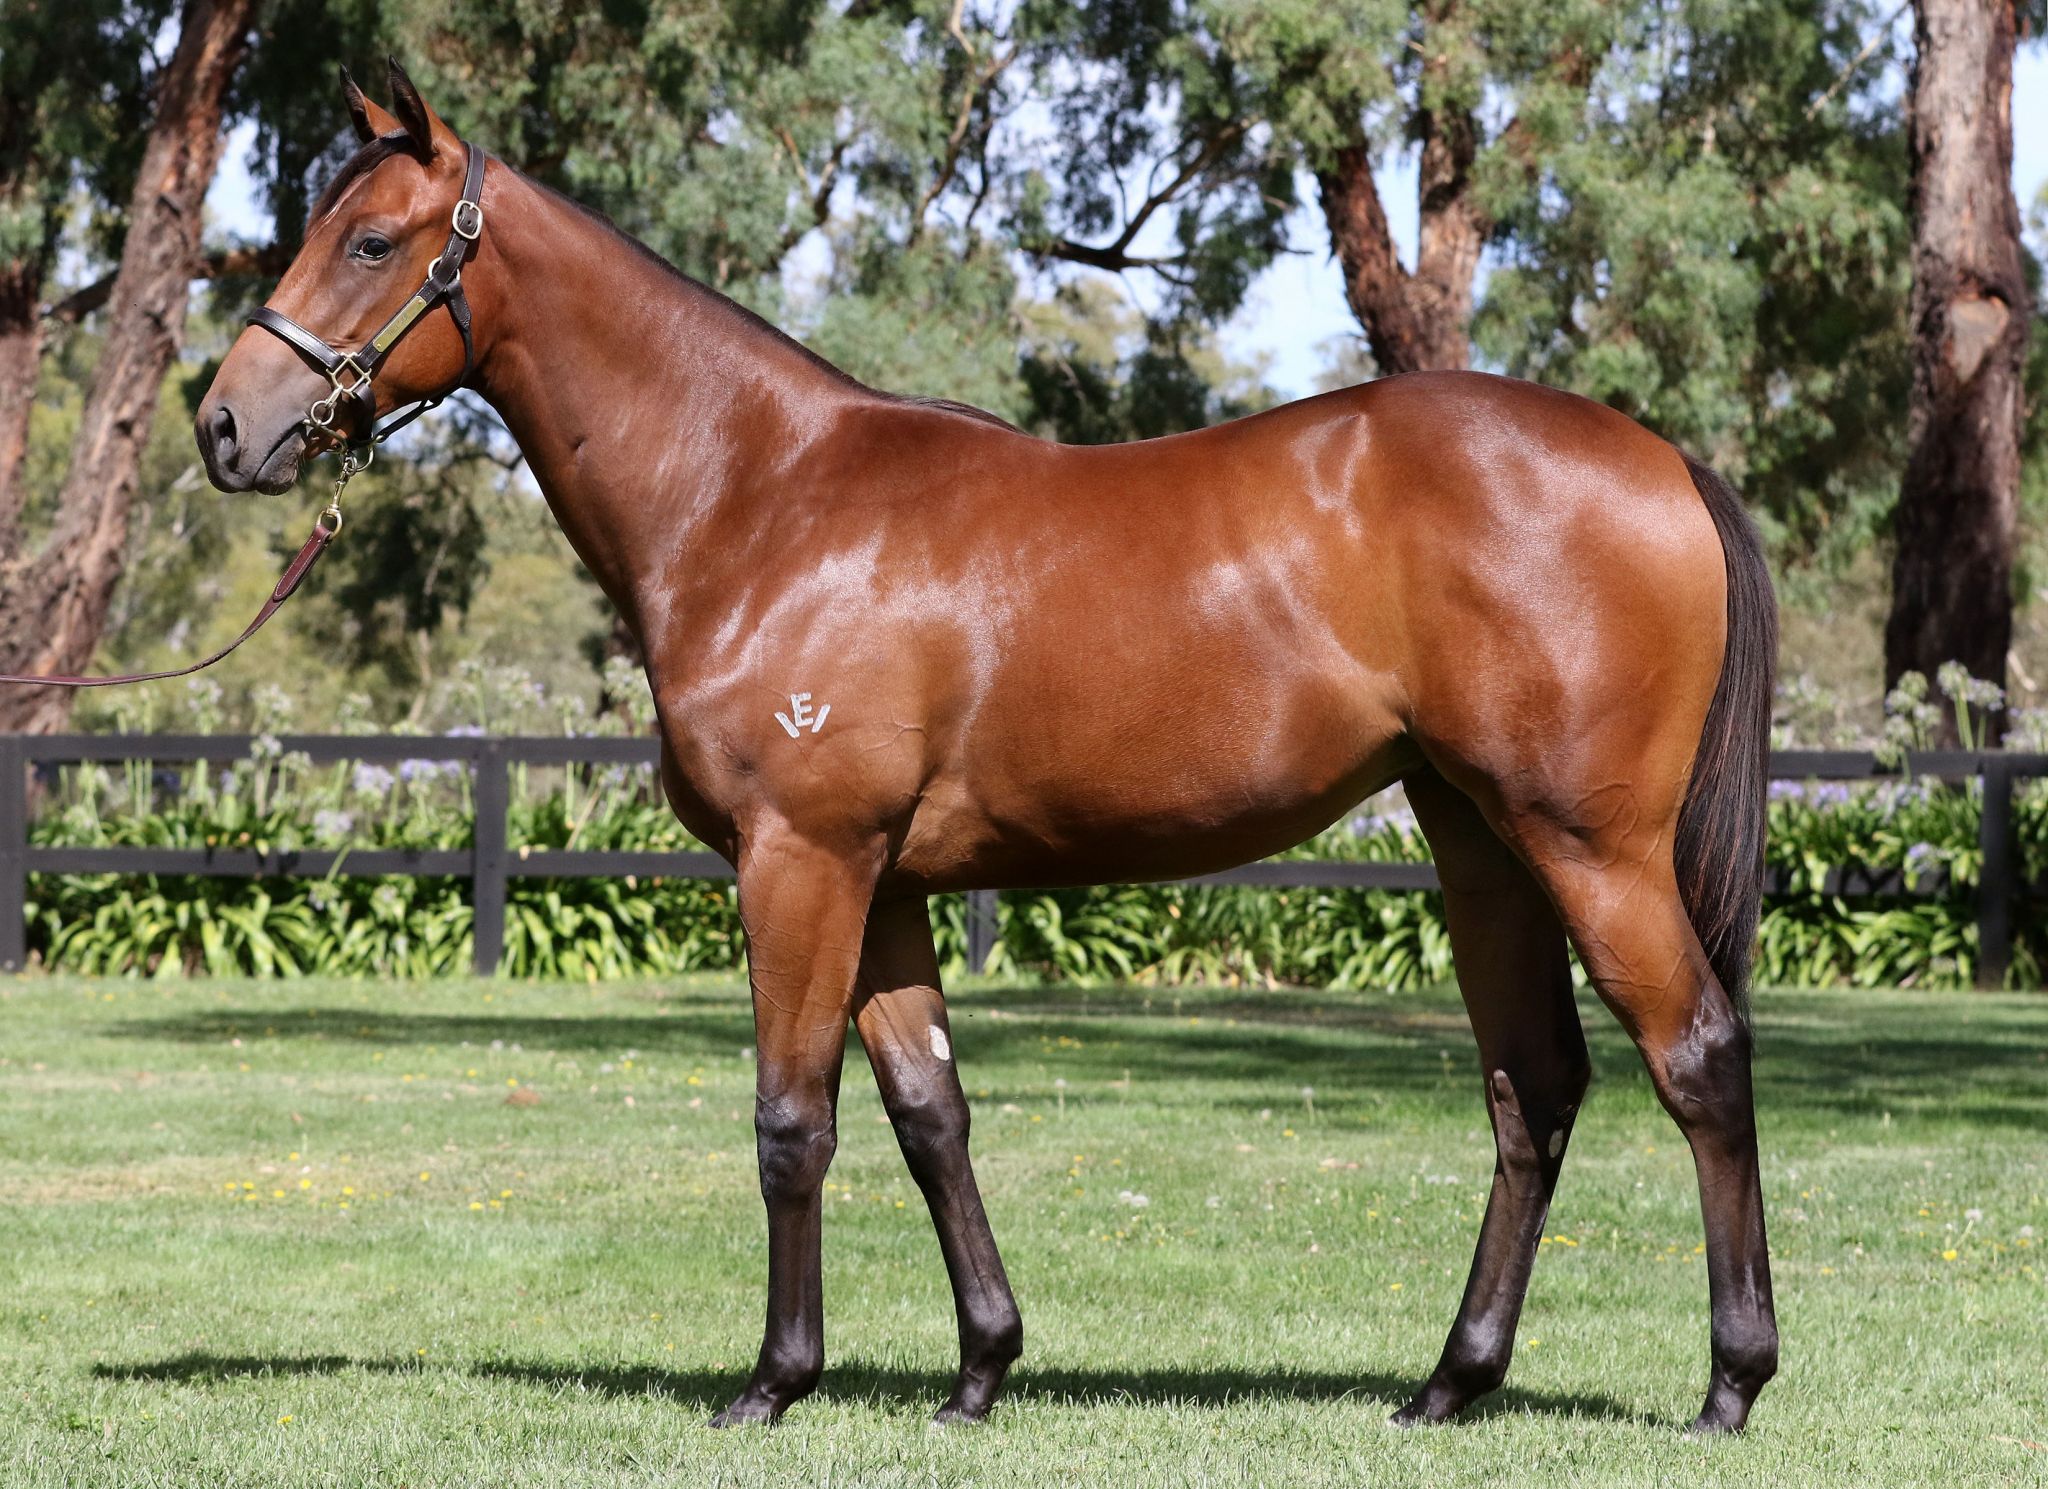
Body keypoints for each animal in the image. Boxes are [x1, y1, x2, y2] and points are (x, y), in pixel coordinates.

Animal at [194, 61, 1779, 1435]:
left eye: (371, 240)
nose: (223, 426)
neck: (758, 497)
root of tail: (1662, 459)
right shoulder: (887, 884)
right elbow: (928, 1116)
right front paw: (980, 1370)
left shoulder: (801, 862)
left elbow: (790, 1120)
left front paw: (773, 1382)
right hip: (1479, 843)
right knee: (1533, 1088)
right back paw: (1452, 1382)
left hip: (1589, 844)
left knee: (1695, 1058)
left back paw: (1728, 1382)